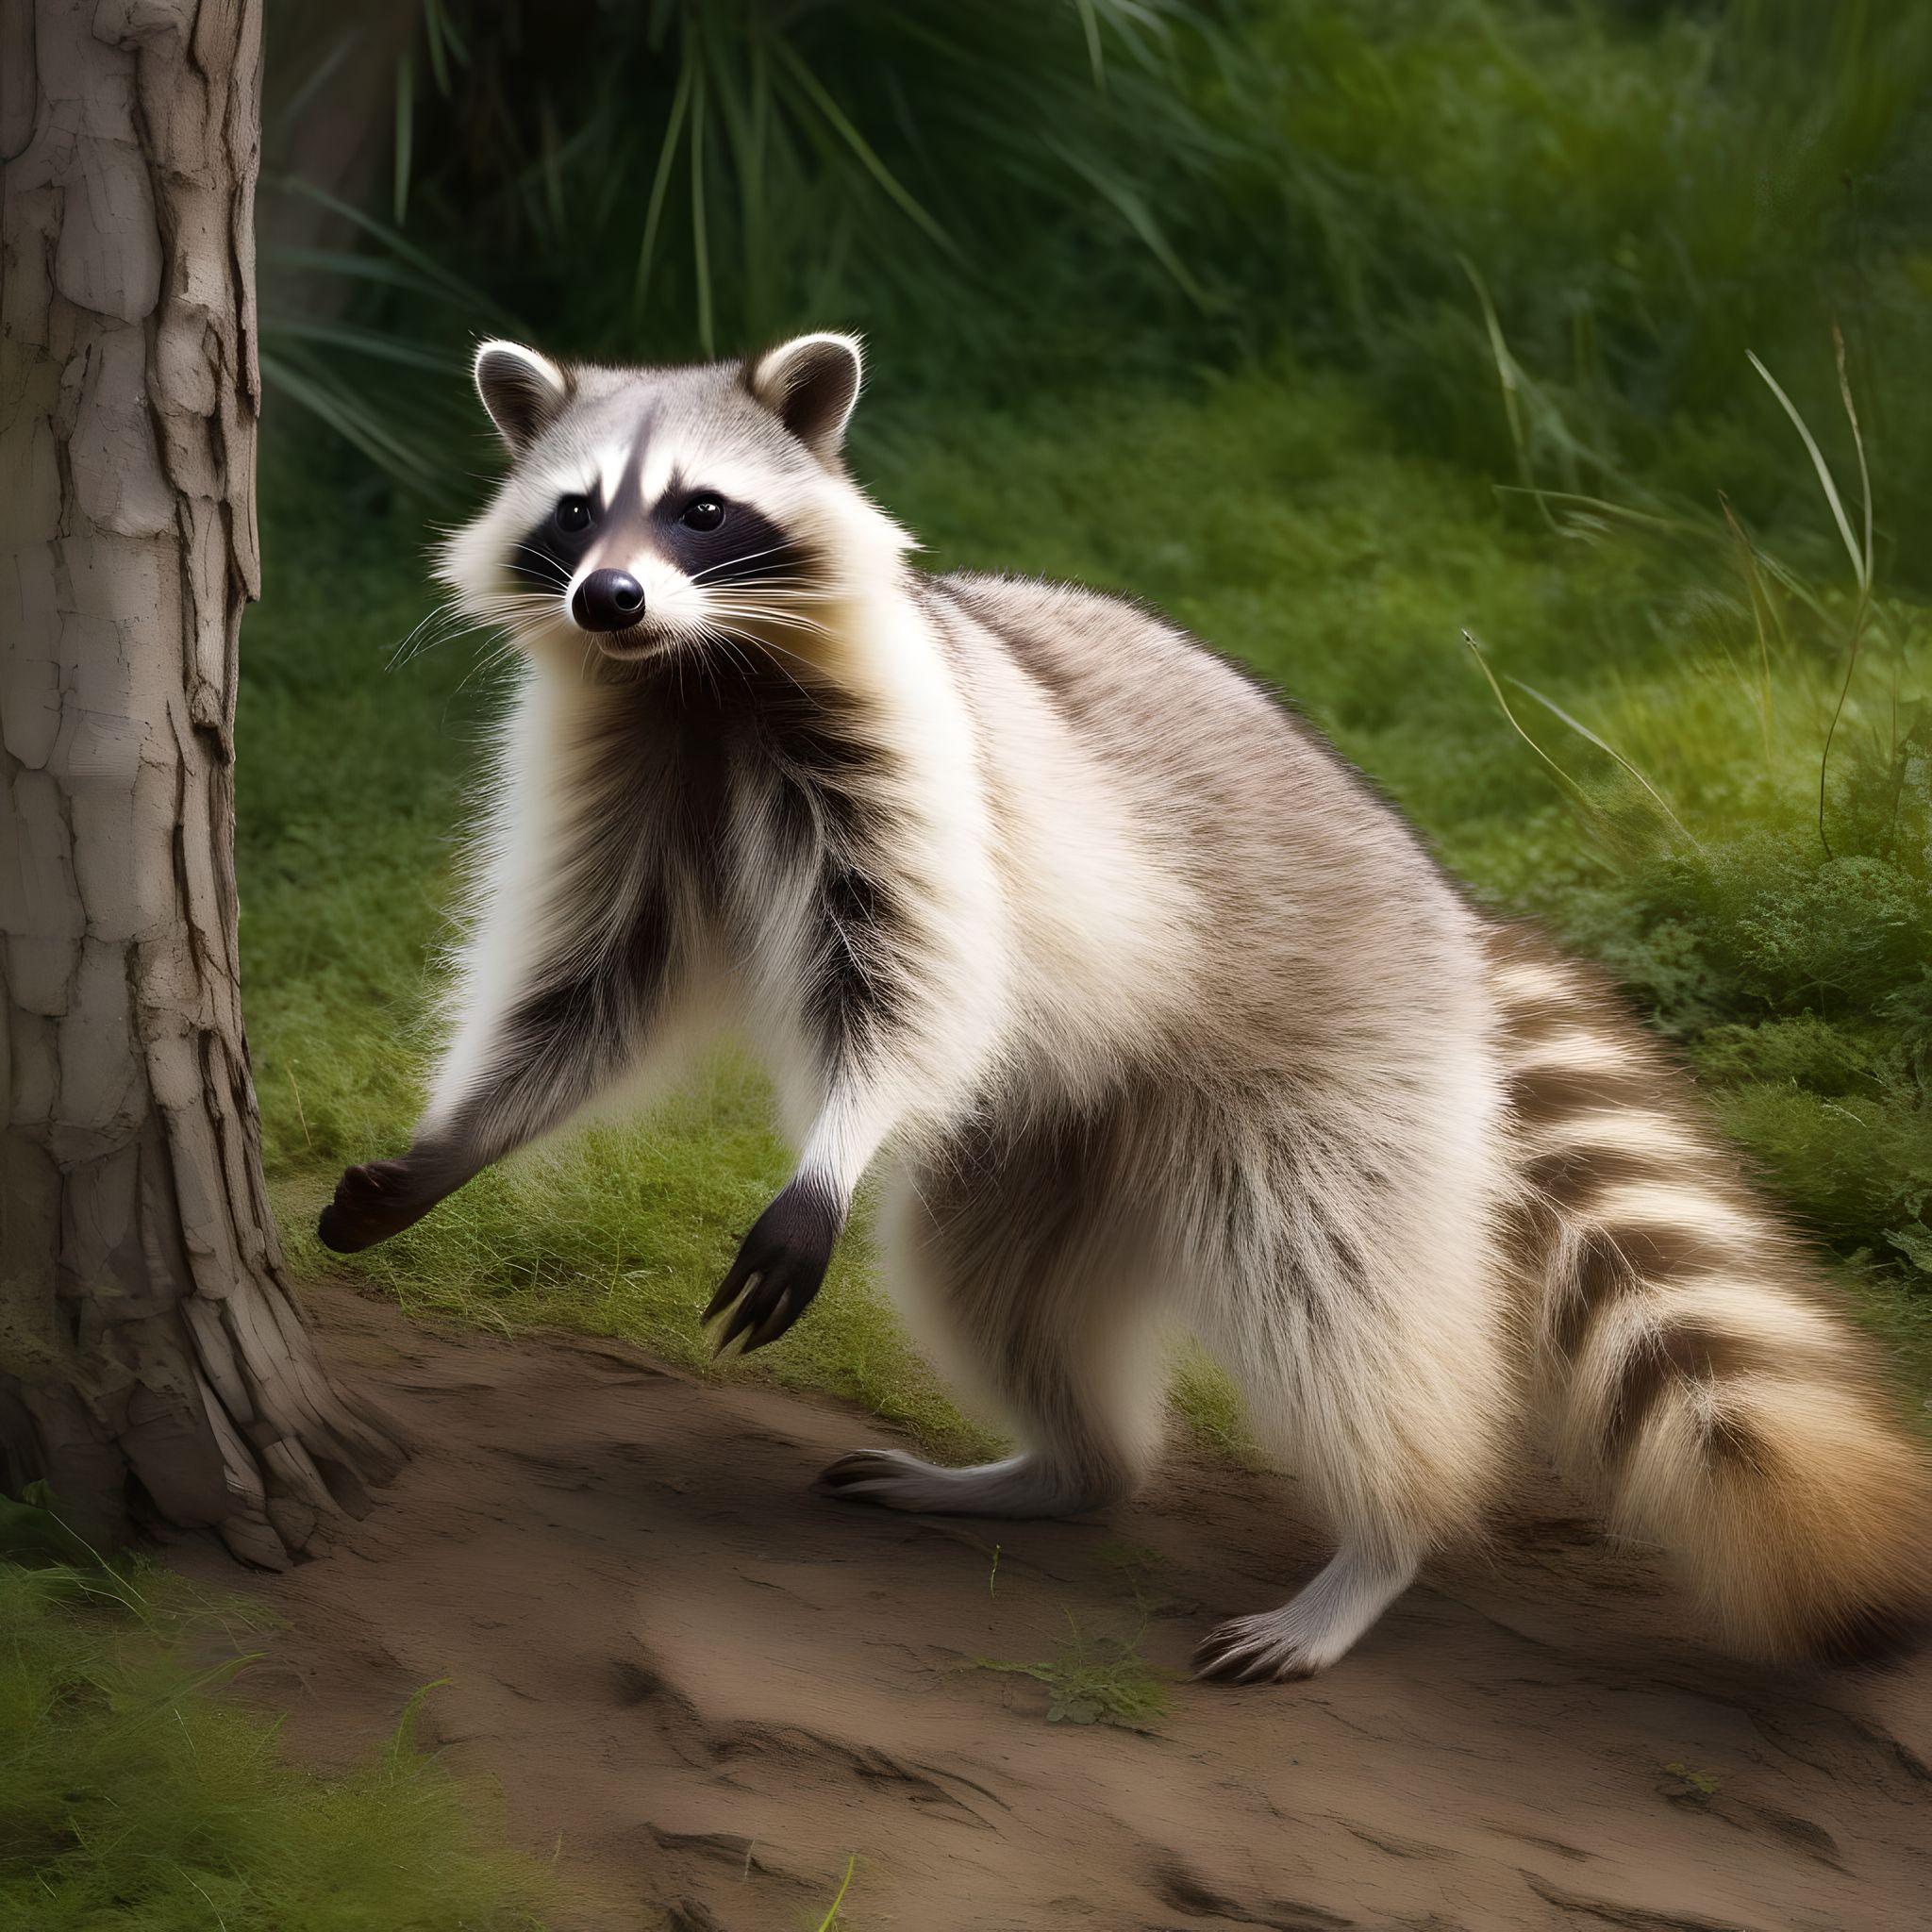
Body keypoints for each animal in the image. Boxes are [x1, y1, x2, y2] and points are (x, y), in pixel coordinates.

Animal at [320, 333, 1932, 1680]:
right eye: (576, 515)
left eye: (701, 511)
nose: (610, 599)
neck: (694, 673)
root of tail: (1452, 910)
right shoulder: (623, 764)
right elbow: (586, 991)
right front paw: (455, 1142)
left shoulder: (917, 768)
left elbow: (915, 986)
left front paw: (828, 1152)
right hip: (1048, 1142)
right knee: (987, 1276)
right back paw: (1063, 1470)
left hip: (1333, 1064)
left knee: (1336, 1293)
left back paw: (1381, 1544)